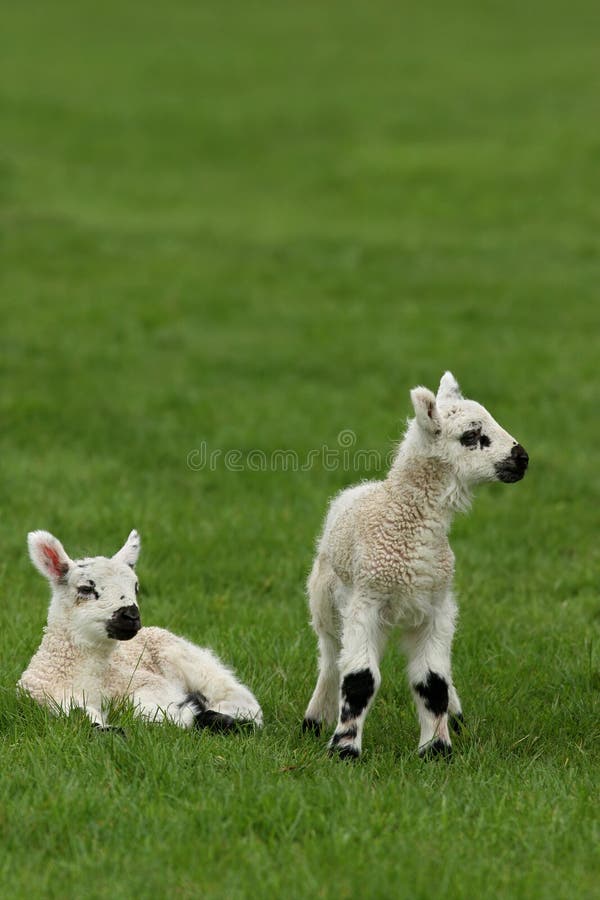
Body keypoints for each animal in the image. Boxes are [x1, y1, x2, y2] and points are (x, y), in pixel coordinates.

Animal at [19, 529, 263, 732]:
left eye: (135, 587)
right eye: (86, 588)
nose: (132, 615)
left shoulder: (146, 682)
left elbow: (150, 709)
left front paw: (193, 711)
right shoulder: (44, 699)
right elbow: (81, 717)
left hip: (184, 656)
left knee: (238, 696)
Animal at [302, 372, 529, 760]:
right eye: (471, 436)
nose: (523, 458)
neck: (403, 519)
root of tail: (362, 487)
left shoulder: (436, 608)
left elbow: (432, 682)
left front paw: (437, 749)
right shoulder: (365, 601)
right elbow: (360, 679)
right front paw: (344, 749)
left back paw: (456, 715)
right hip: (325, 597)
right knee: (331, 659)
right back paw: (315, 719)